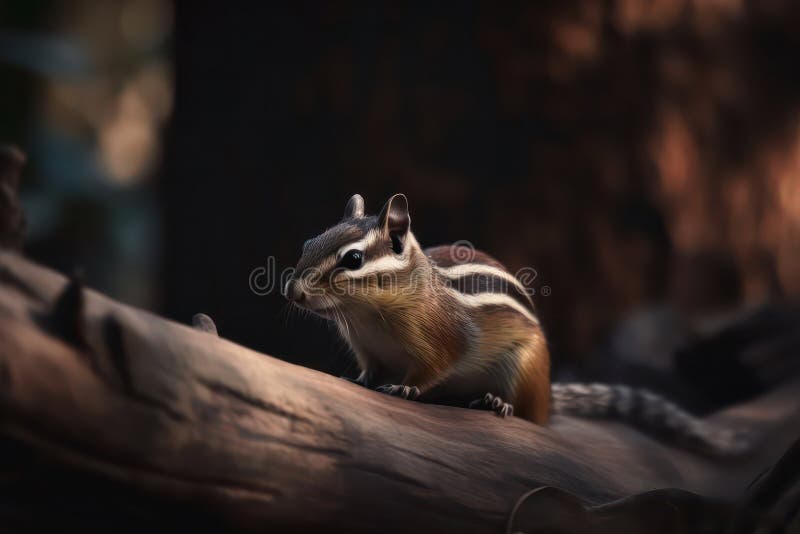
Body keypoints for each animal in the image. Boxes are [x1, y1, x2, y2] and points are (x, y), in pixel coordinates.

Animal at [284, 193, 750, 457]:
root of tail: (548, 396)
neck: (368, 316)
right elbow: (369, 369)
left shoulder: (441, 337)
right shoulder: (367, 348)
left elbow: (434, 366)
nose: (292, 292)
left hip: (523, 368)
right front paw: (360, 379)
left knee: (529, 415)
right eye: (309, 242)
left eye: (353, 259)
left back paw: (497, 403)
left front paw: (406, 387)